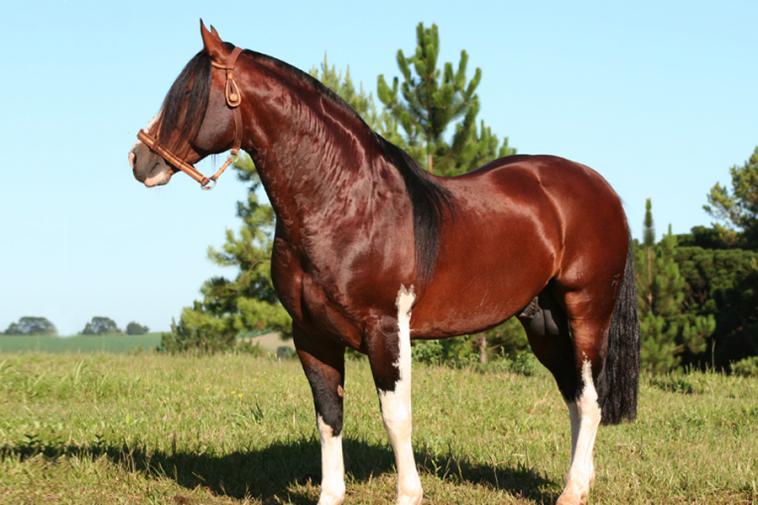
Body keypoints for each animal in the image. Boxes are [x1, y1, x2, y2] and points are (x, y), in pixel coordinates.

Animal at [129, 22, 640, 505]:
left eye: (188, 94)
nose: (139, 159)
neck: (346, 202)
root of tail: (600, 188)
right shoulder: (311, 335)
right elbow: (329, 417)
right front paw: (330, 494)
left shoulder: (386, 330)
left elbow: (396, 416)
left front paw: (408, 493)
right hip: (544, 322)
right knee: (573, 397)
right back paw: (580, 482)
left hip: (587, 312)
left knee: (590, 400)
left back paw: (572, 490)